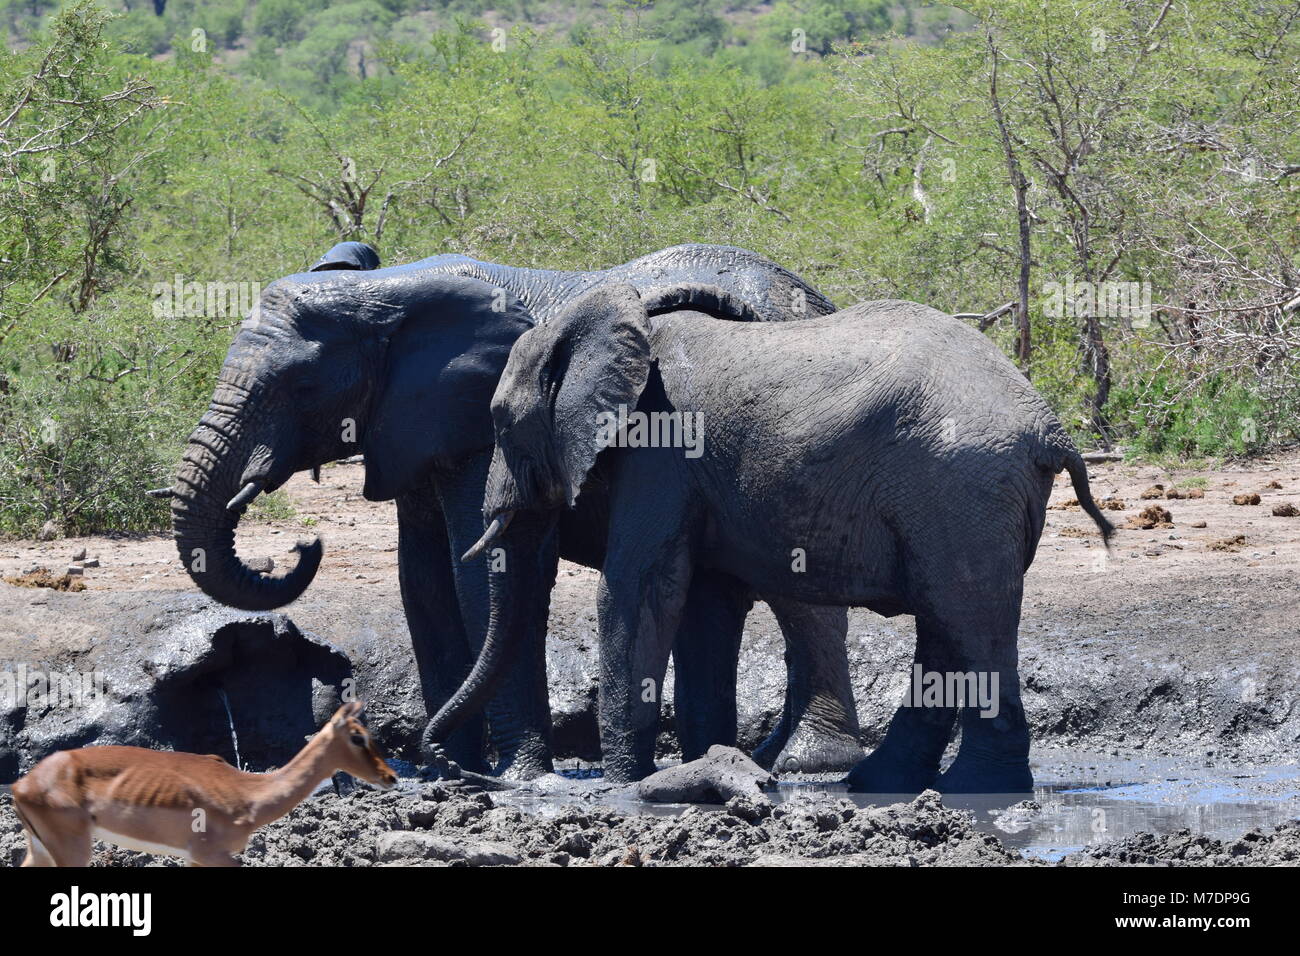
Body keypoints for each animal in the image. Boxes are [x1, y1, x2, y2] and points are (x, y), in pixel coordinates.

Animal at [170, 243, 867, 780]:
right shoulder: (412, 426)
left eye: (303, 387)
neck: (386, 290)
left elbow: (478, 575)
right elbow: (423, 580)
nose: (304, 546)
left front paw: (518, 775)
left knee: (799, 594)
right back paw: (729, 759)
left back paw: (805, 763)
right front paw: (450, 770)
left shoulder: (478, 422)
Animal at [428, 283, 1115, 792]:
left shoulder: (662, 446)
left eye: (500, 423)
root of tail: (1050, 426)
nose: (453, 767)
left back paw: (977, 790)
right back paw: (881, 783)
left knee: (968, 619)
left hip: (962, 486)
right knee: (947, 624)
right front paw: (699, 768)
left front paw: (624, 788)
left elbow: (639, 589)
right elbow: (704, 605)